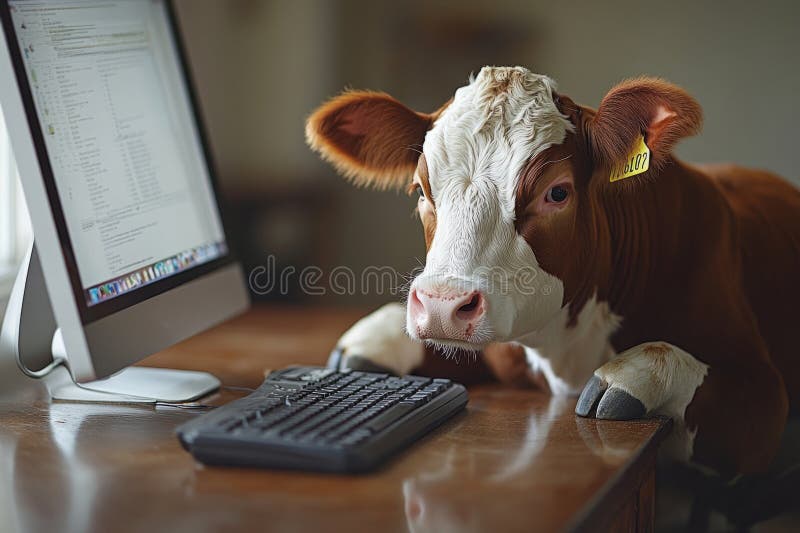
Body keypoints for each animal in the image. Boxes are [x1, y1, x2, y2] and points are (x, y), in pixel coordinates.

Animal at [305, 66, 800, 477]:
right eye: (421, 189)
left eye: (557, 193)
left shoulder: (764, 395)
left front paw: (630, 375)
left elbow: (664, 363)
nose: (442, 306)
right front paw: (376, 339)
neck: (566, 352)